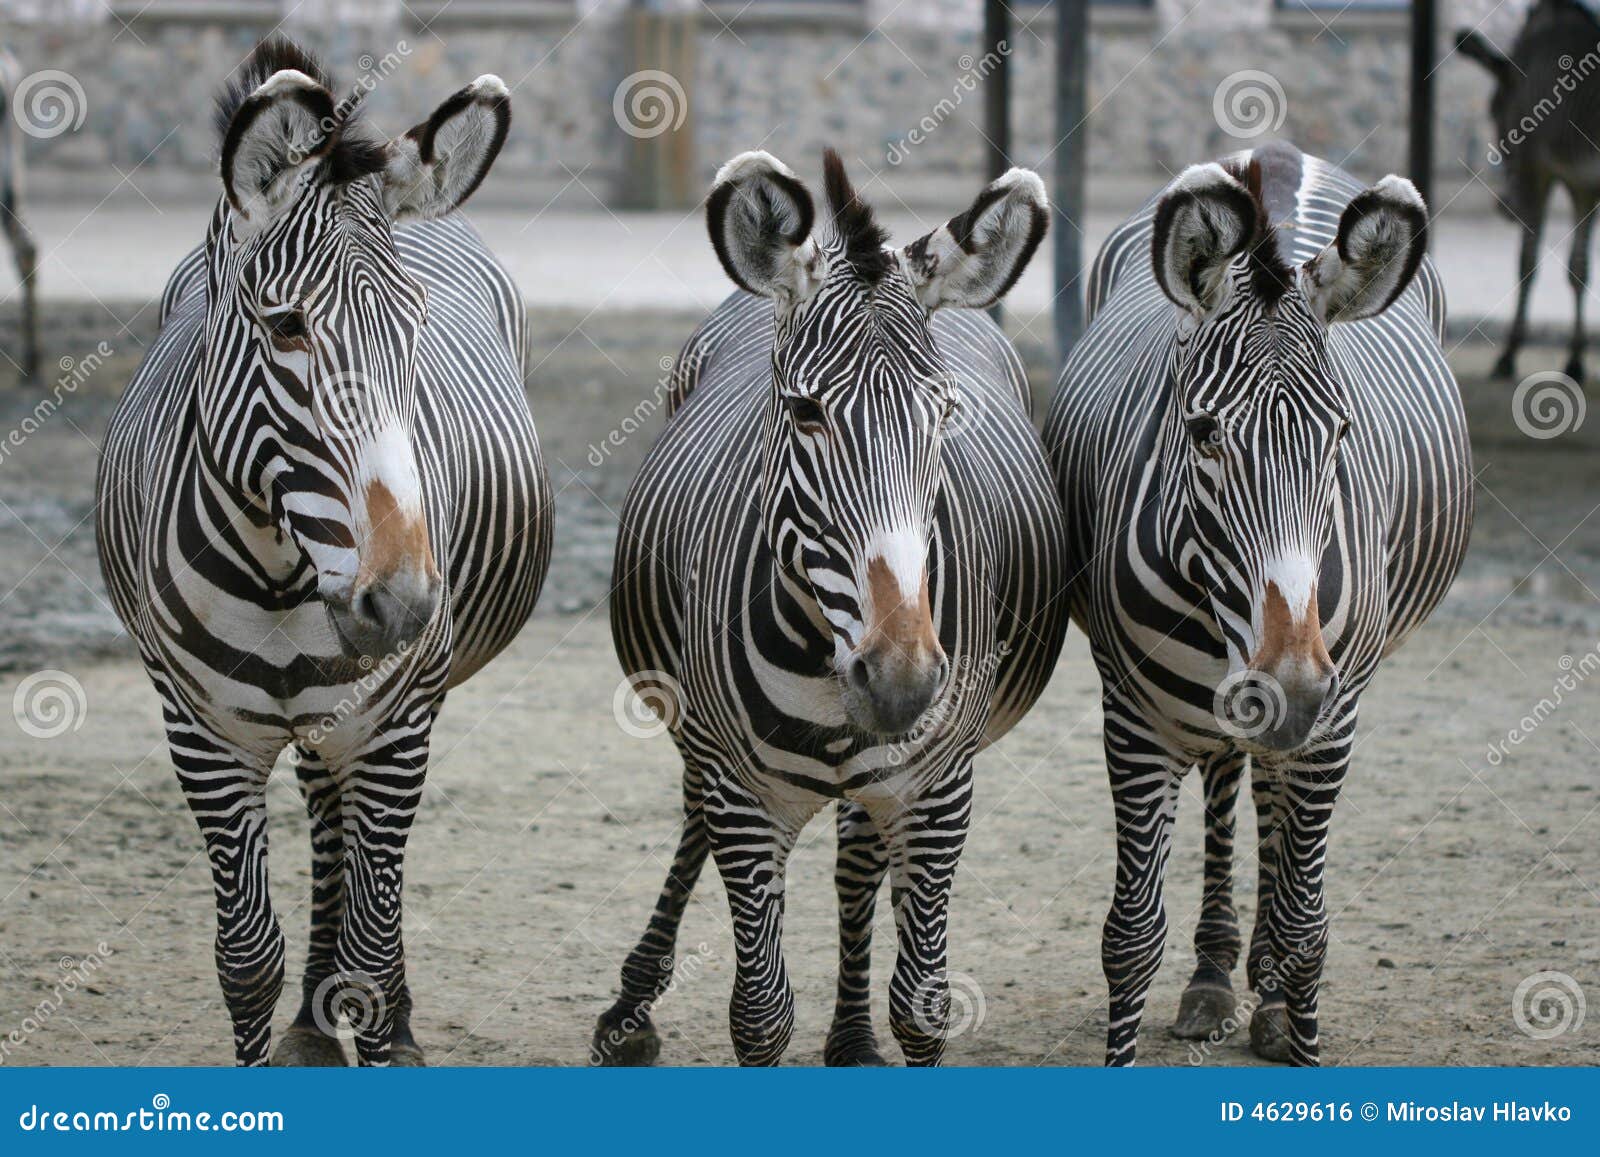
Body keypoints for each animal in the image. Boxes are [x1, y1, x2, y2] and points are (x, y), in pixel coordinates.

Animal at [94, 39, 551, 1066]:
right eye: (284, 326)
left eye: (415, 326)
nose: (405, 603)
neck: (278, 575)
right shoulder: (203, 734)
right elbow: (245, 955)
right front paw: (282, 1020)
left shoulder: (396, 724)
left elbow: (372, 956)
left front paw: (383, 1019)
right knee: (325, 813)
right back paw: (310, 1015)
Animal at [592, 149, 1068, 1066]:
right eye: (805, 411)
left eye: (945, 414)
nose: (902, 679)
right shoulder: (743, 799)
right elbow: (759, 1011)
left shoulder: (938, 794)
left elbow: (922, 1007)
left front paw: (874, 1024)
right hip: (704, 737)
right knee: (695, 813)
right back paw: (630, 1005)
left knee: (855, 860)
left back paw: (849, 1032)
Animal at [1045, 141, 1473, 1066]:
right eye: (1204, 432)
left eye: (1341, 433)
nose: (1292, 681)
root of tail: (1275, 152)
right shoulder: (1132, 715)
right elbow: (1130, 933)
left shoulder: (1332, 717)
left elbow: (1310, 925)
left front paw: (1292, 999)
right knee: (1230, 776)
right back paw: (1216, 975)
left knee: (1273, 802)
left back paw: (1270, 990)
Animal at [1457, 0, 1600, 383]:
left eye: (1494, 110)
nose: (1506, 207)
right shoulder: (1583, 186)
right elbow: (1578, 270)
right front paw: (1575, 359)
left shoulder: (1537, 171)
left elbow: (1526, 263)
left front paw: (1509, 355)